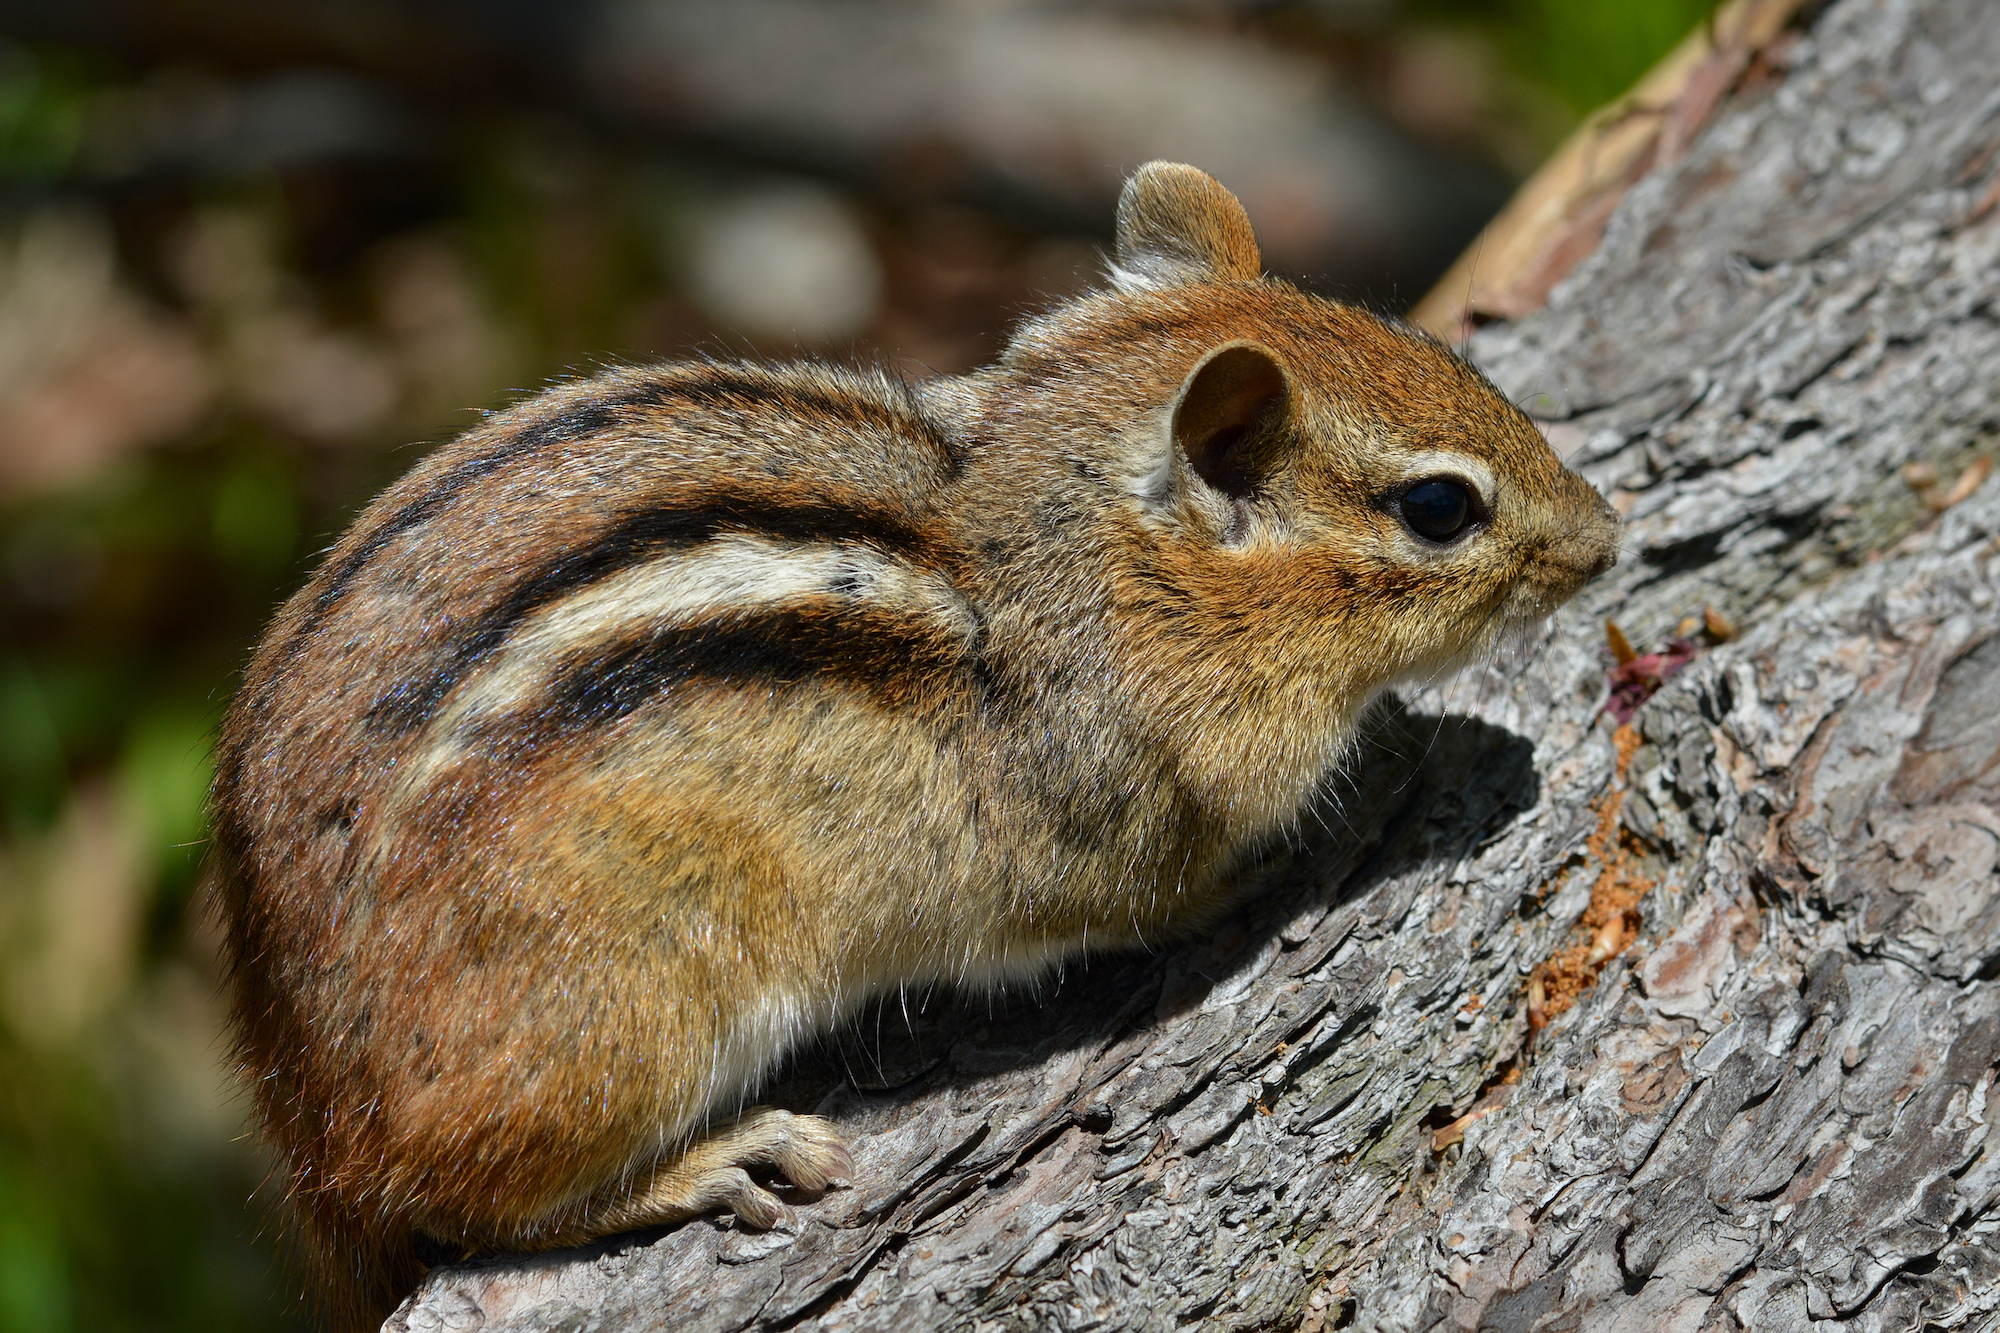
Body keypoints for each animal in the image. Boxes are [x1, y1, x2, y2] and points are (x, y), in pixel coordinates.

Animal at [208, 162, 1619, 1330]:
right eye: (1436, 508)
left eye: (1434, 341)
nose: (1604, 538)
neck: (1077, 557)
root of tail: (304, 1104)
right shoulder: (1108, 831)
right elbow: (1150, 897)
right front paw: (1284, 854)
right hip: (631, 1008)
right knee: (475, 1207)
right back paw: (719, 1160)